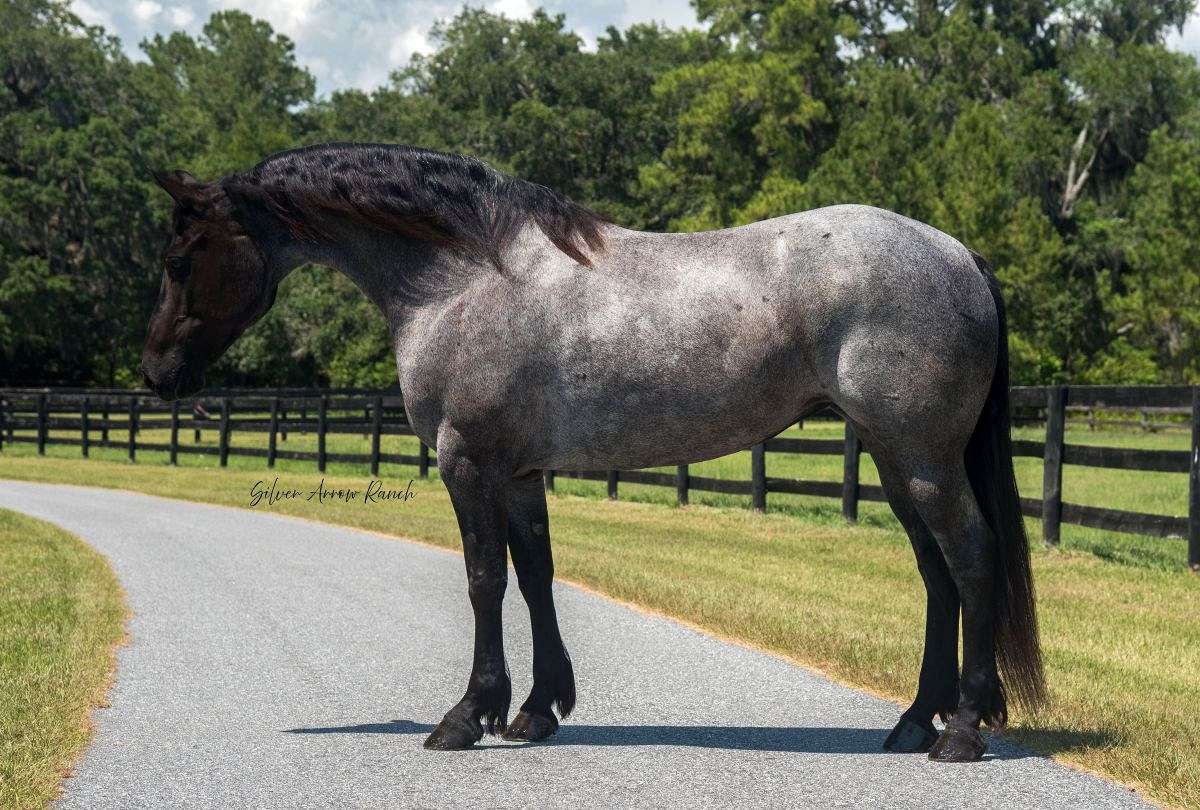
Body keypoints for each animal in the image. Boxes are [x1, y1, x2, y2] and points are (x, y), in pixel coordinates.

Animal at [140, 142, 1045, 761]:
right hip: (898, 461)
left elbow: (484, 580)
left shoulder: (467, 464)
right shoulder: (518, 473)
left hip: (921, 458)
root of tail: (958, 253)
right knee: (936, 573)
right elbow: (536, 576)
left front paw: (467, 717)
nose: (156, 374)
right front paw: (536, 711)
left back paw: (962, 729)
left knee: (971, 560)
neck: (465, 278)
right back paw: (913, 720)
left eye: (181, 258)